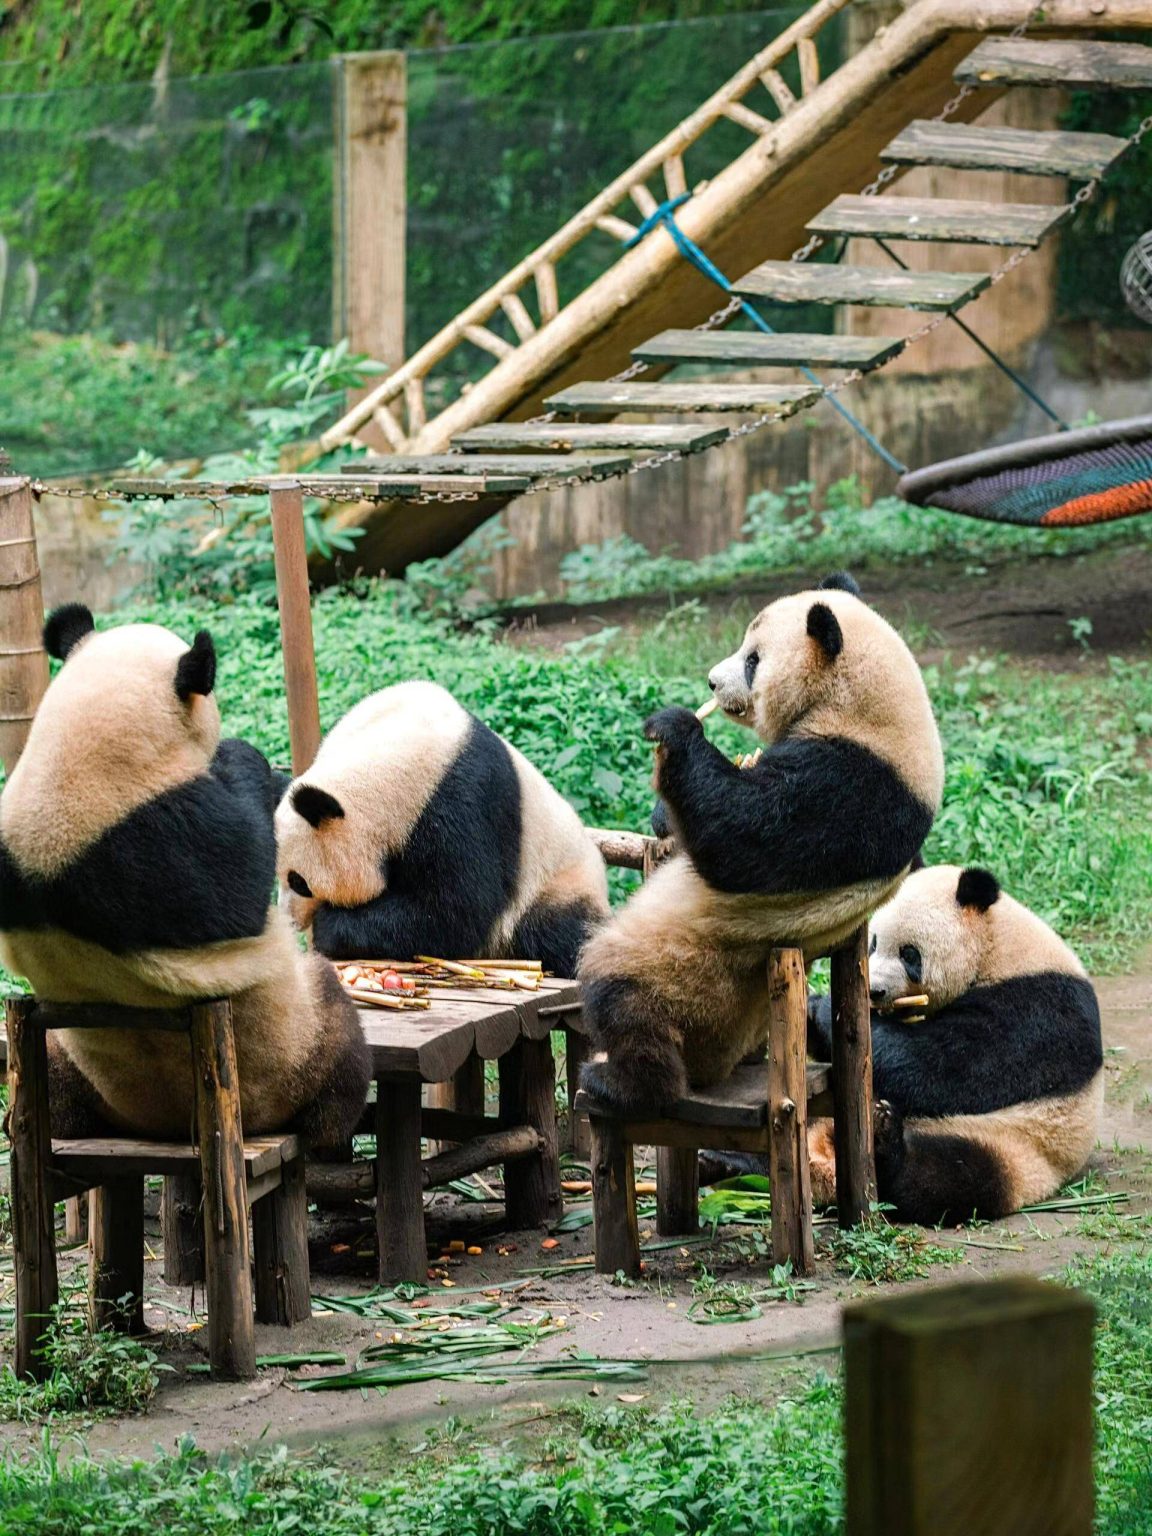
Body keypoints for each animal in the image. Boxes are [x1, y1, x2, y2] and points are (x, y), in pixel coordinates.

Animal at [0, 603, 370, 1146]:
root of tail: (167, 1126)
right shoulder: (161, 844)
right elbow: (241, 882)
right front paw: (246, 760)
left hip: (78, 1060)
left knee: (53, 1070)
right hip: (292, 1051)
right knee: (340, 1043)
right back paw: (332, 1132)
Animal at [274, 681, 610, 974]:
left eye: (299, 881)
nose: (289, 920)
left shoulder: (461, 806)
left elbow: (455, 912)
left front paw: (328, 927)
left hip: (555, 882)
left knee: (560, 931)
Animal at [579, 572, 944, 1113]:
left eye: (753, 659)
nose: (712, 682)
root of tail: (717, 1062)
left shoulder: (857, 782)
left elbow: (747, 838)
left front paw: (676, 728)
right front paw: (664, 812)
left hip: (683, 969)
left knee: (625, 1003)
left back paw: (623, 1082)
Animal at [807, 864, 1104, 1224]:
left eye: (909, 954)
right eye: (873, 944)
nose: (875, 991)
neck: (995, 945)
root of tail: (825, 1156)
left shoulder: (1034, 1010)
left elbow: (943, 1068)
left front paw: (824, 1010)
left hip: (1014, 1144)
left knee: (951, 1174)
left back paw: (885, 1141)